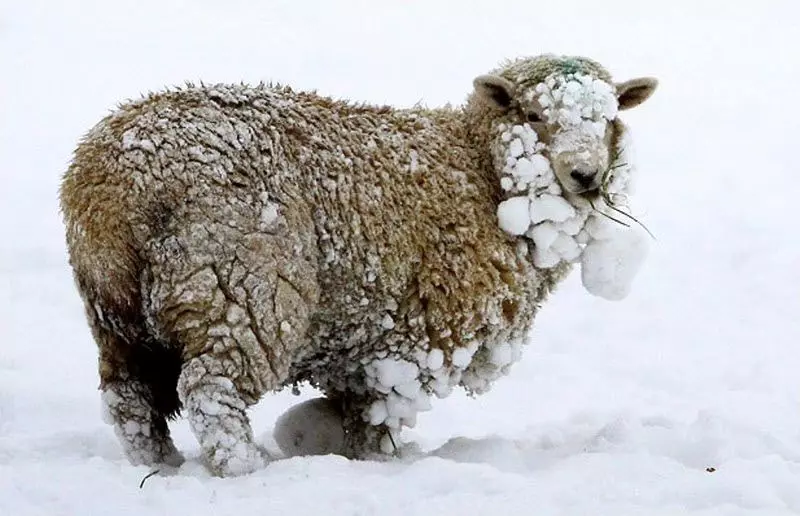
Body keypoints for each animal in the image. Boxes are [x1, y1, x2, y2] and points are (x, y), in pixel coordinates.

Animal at [61, 53, 656, 476]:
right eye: (534, 114)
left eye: (608, 120)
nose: (586, 176)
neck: (479, 171)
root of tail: (111, 184)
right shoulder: (405, 346)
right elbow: (377, 423)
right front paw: (383, 467)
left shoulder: (358, 349)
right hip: (242, 292)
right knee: (210, 391)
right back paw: (243, 469)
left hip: (116, 313)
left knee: (130, 400)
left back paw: (159, 467)